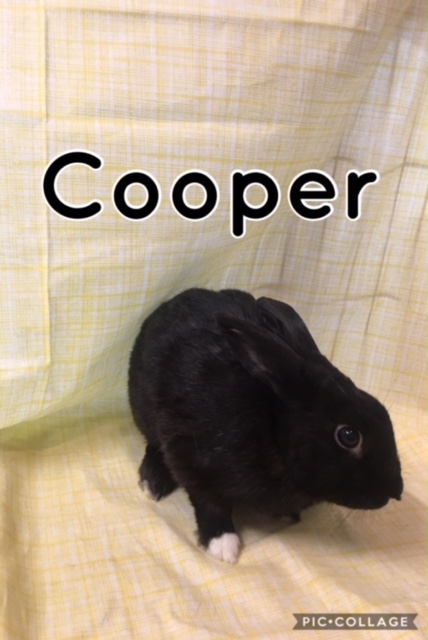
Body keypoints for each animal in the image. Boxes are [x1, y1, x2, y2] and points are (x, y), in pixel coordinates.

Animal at [128, 288, 403, 563]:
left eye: (381, 409)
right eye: (349, 436)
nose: (396, 492)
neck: (274, 429)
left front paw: (285, 515)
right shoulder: (191, 461)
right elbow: (209, 504)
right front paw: (223, 546)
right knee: (153, 445)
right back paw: (152, 483)